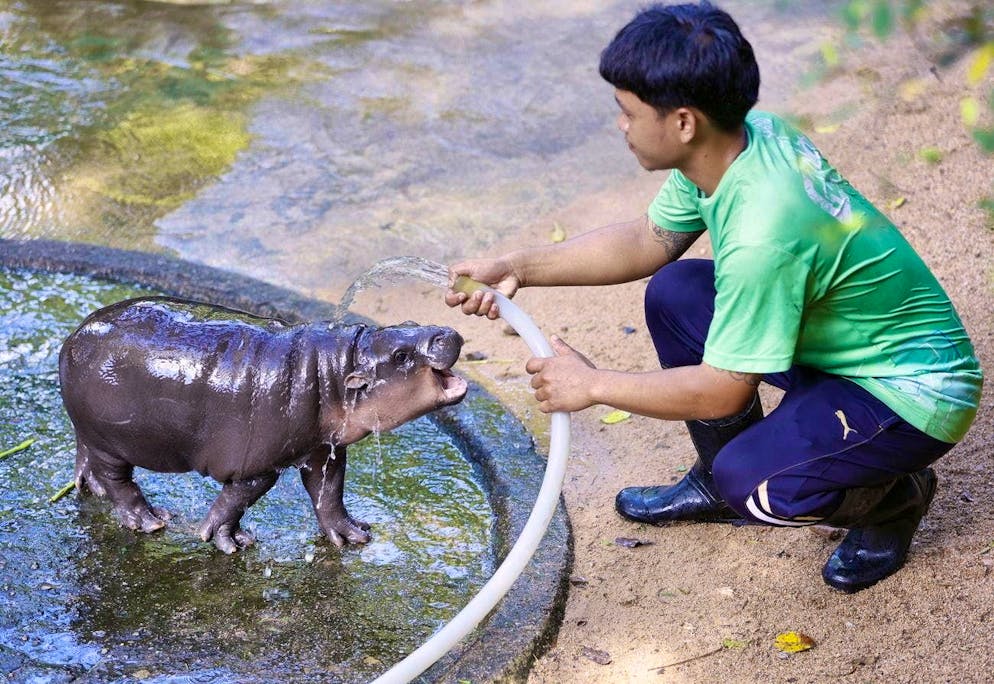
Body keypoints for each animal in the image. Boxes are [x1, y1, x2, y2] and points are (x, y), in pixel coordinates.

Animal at [58, 296, 467, 553]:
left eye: (410, 323)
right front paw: (228, 542)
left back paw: (91, 488)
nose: (449, 332)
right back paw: (152, 521)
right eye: (400, 356)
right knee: (119, 482)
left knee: (87, 458)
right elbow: (236, 501)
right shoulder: (256, 466)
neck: (336, 368)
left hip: (90, 432)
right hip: (111, 442)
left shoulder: (324, 450)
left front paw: (352, 535)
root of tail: (72, 338)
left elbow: (328, 492)